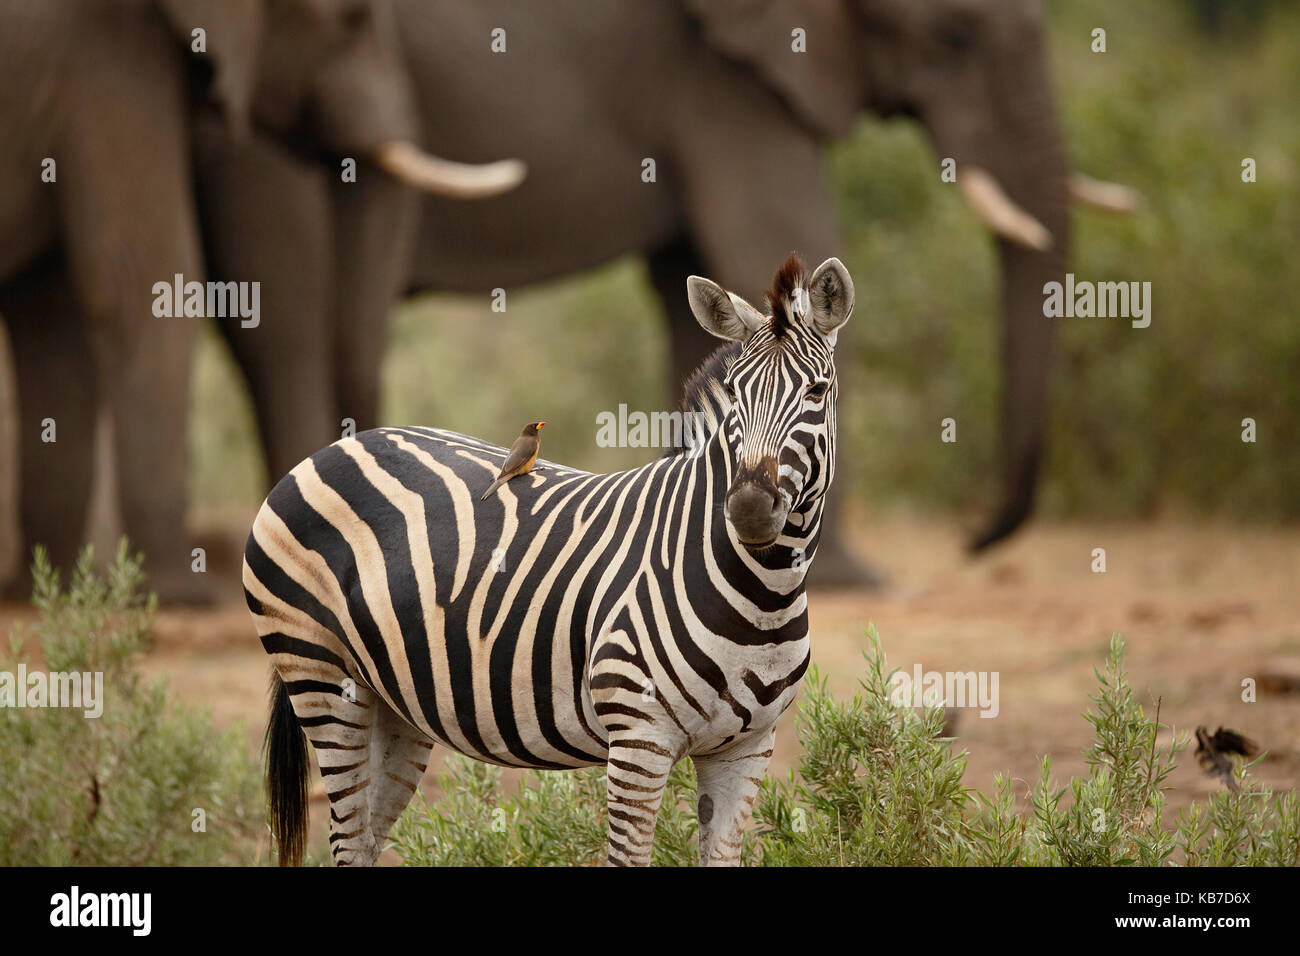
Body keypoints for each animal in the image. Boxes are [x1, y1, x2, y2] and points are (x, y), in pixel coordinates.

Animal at [243, 253, 855, 866]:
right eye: (734, 394)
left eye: (817, 391)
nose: (747, 508)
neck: (763, 594)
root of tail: (335, 446)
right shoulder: (639, 736)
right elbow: (627, 855)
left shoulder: (748, 747)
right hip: (321, 675)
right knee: (345, 836)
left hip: (392, 702)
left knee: (365, 840)